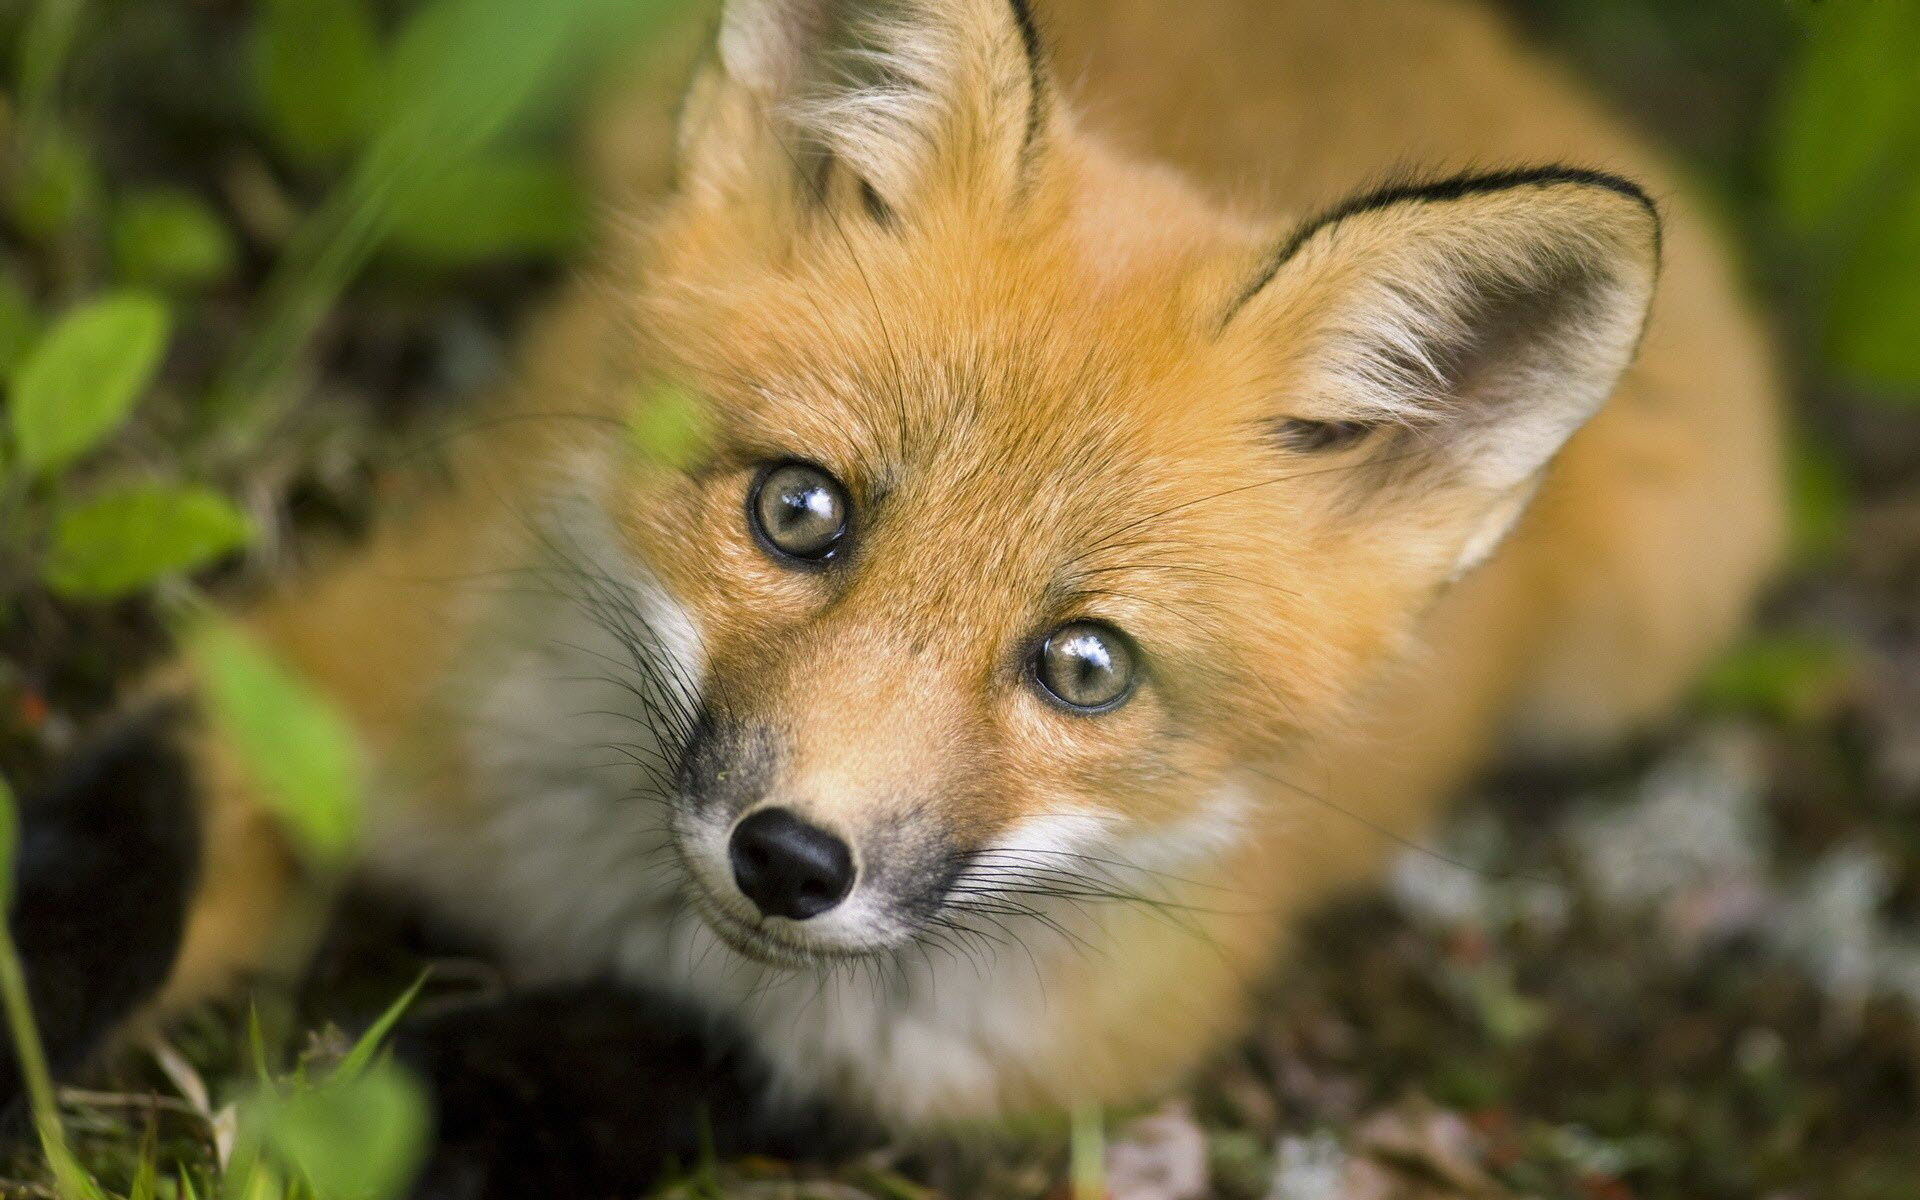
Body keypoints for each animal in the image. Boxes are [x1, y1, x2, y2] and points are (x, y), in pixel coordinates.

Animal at [6, 0, 1783, 1191]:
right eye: (801, 512)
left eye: (1084, 667)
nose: (790, 860)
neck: (609, 896)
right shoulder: (320, 679)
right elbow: (106, 868)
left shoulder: (1038, 1047)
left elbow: (724, 1045)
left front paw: (425, 1102)